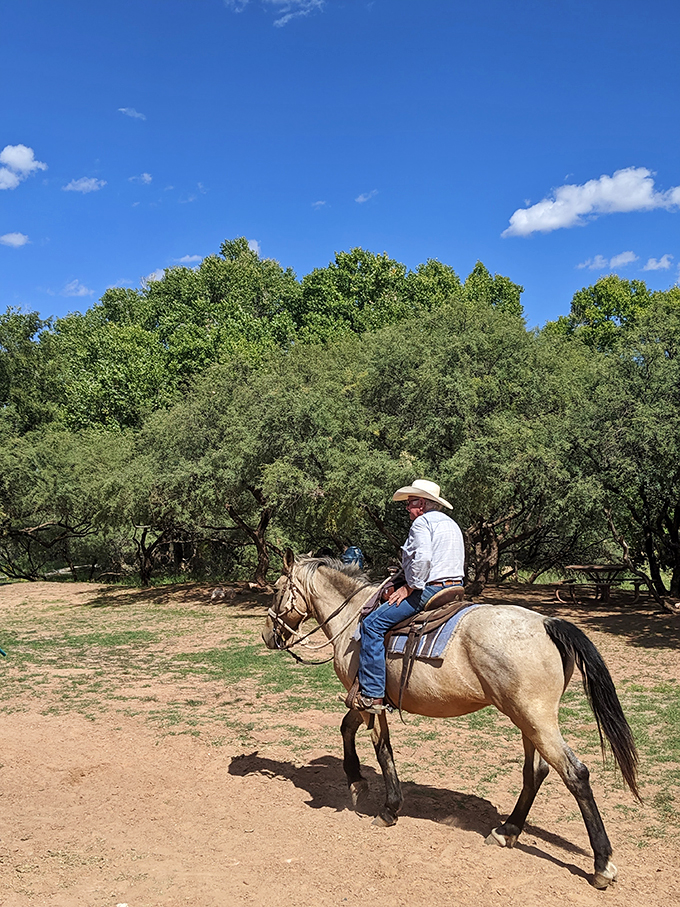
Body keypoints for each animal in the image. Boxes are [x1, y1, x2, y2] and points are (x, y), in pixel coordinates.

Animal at [262, 552, 640, 890]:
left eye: (277, 589)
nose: (268, 635)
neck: (353, 619)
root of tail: (548, 624)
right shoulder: (364, 702)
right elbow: (347, 728)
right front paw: (357, 782)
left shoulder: (369, 701)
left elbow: (381, 750)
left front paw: (386, 806)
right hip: (528, 721)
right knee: (536, 772)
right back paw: (507, 831)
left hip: (536, 719)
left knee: (575, 773)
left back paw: (602, 865)